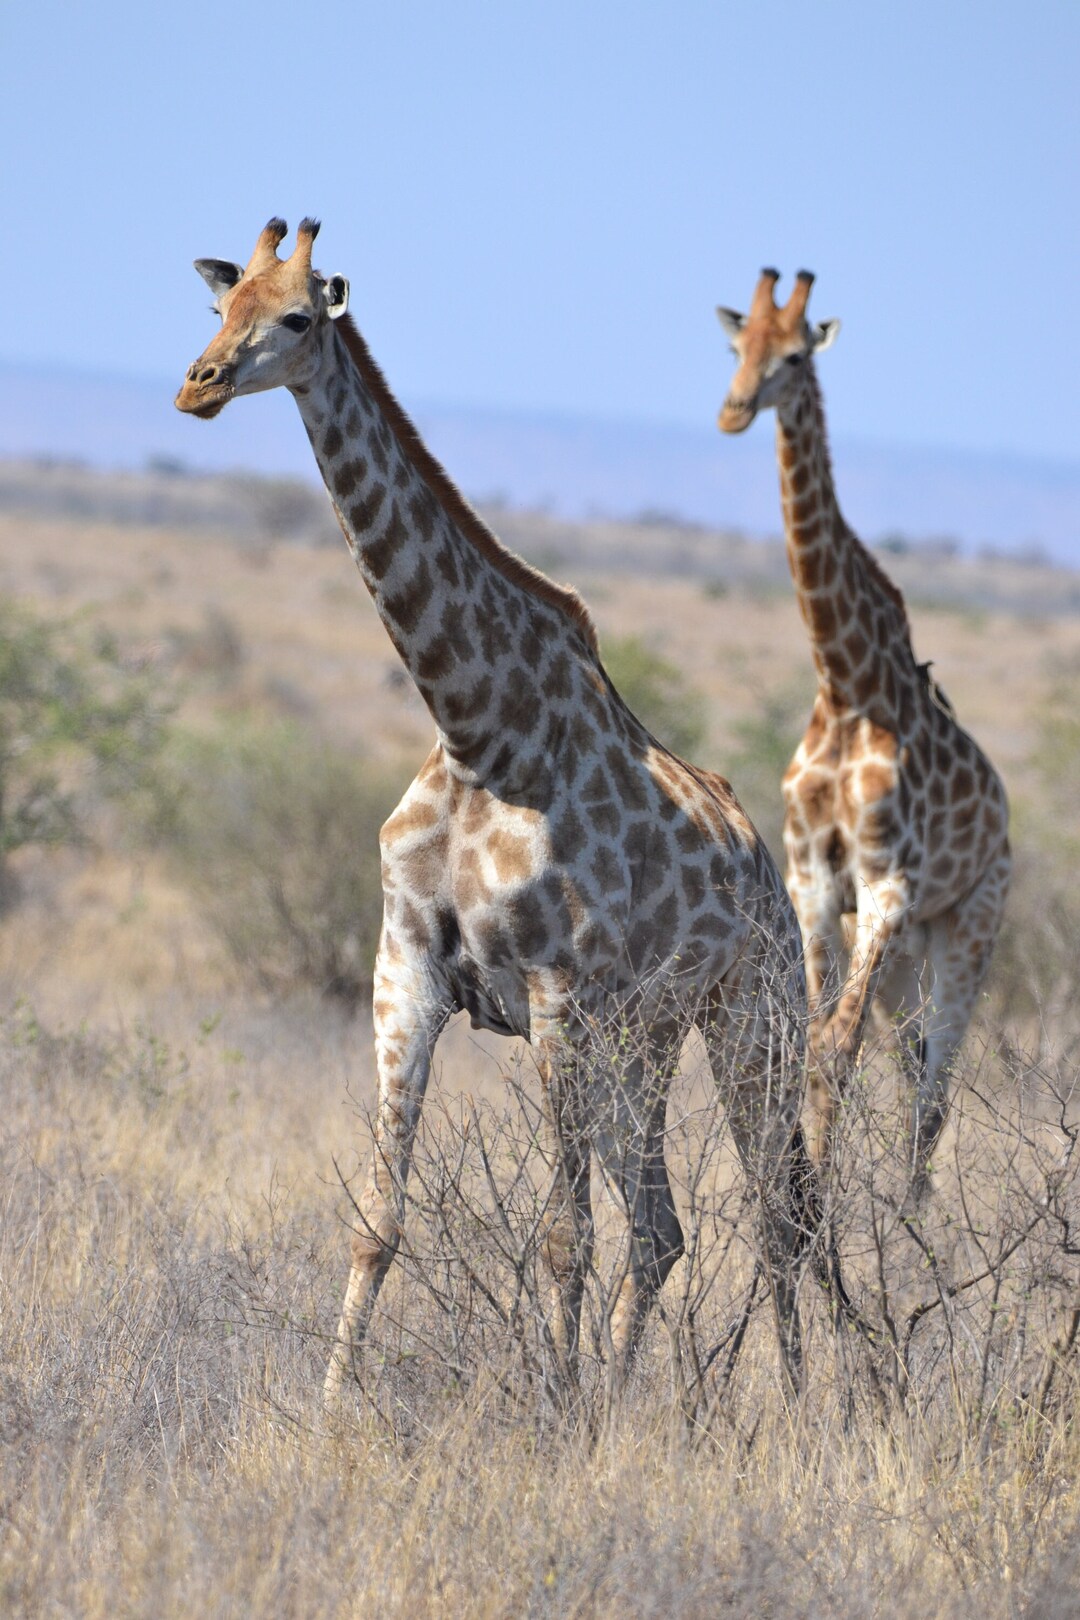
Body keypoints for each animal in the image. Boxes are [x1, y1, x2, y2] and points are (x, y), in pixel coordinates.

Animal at [176, 217, 816, 1403]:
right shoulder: (406, 973)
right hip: (645, 1043)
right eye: (217, 307)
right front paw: (331, 1412)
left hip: (753, 1017)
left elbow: (563, 1237)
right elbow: (376, 1220)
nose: (199, 387)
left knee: (774, 1217)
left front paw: (552, 1416)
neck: (485, 733)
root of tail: (765, 867)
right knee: (663, 1228)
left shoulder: (556, 990)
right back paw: (620, 1403)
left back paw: (805, 1410)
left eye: (297, 318)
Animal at [716, 268, 1011, 1200]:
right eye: (737, 347)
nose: (734, 409)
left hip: (968, 924)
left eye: (794, 356)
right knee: (909, 1062)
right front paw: (809, 1193)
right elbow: (814, 1042)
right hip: (905, 952)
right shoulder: (814, 882)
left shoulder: (890, 885)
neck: (845, 688)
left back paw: (913, 1217)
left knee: (937, 1080)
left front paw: (828, 1211)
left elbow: (835, 1049)